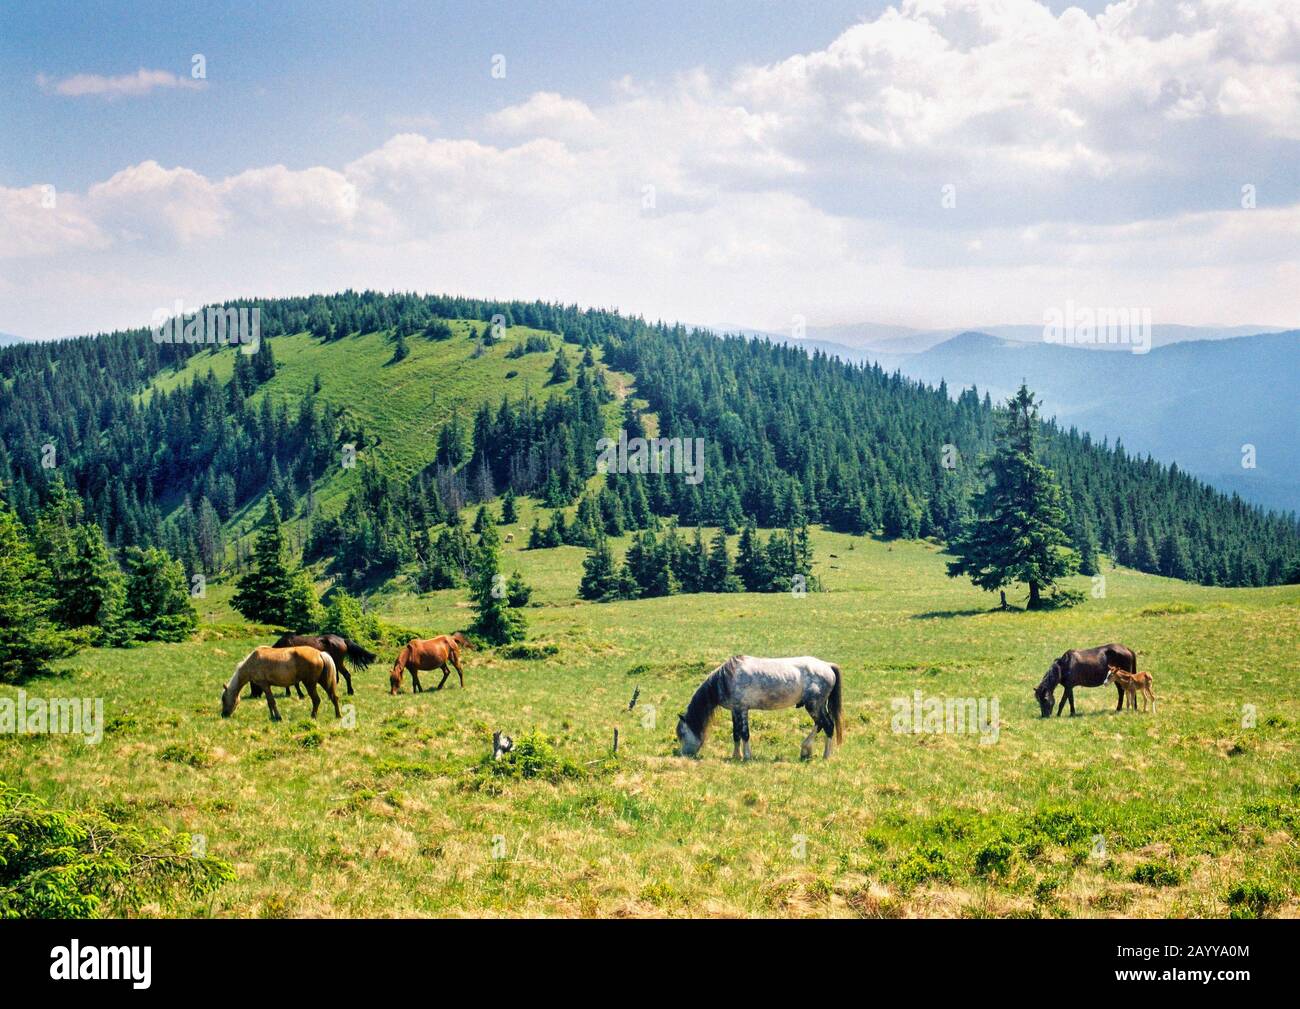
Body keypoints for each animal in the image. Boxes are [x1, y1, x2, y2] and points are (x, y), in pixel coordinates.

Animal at [247, 633, 378, 699]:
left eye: (253, 684)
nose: (253, 695)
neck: (284, 647)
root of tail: (343, 640)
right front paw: (288, 693)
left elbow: (295, 683)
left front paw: (300, 695)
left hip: (339, 662)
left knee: (347, 675)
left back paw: (350, 691)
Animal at [675, 655, 844, 761]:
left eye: (682, 734)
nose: (683, 755)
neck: (727, 679)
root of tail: (827, 666)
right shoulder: (735, 710)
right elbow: (736, 733)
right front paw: (736, 755)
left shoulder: (742, 709)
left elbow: (744, 733)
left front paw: (747, 756)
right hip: (817, 706)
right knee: (820, 724)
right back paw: (806, 750)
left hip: (813, 706)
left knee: (828, 725)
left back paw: (824, 755)